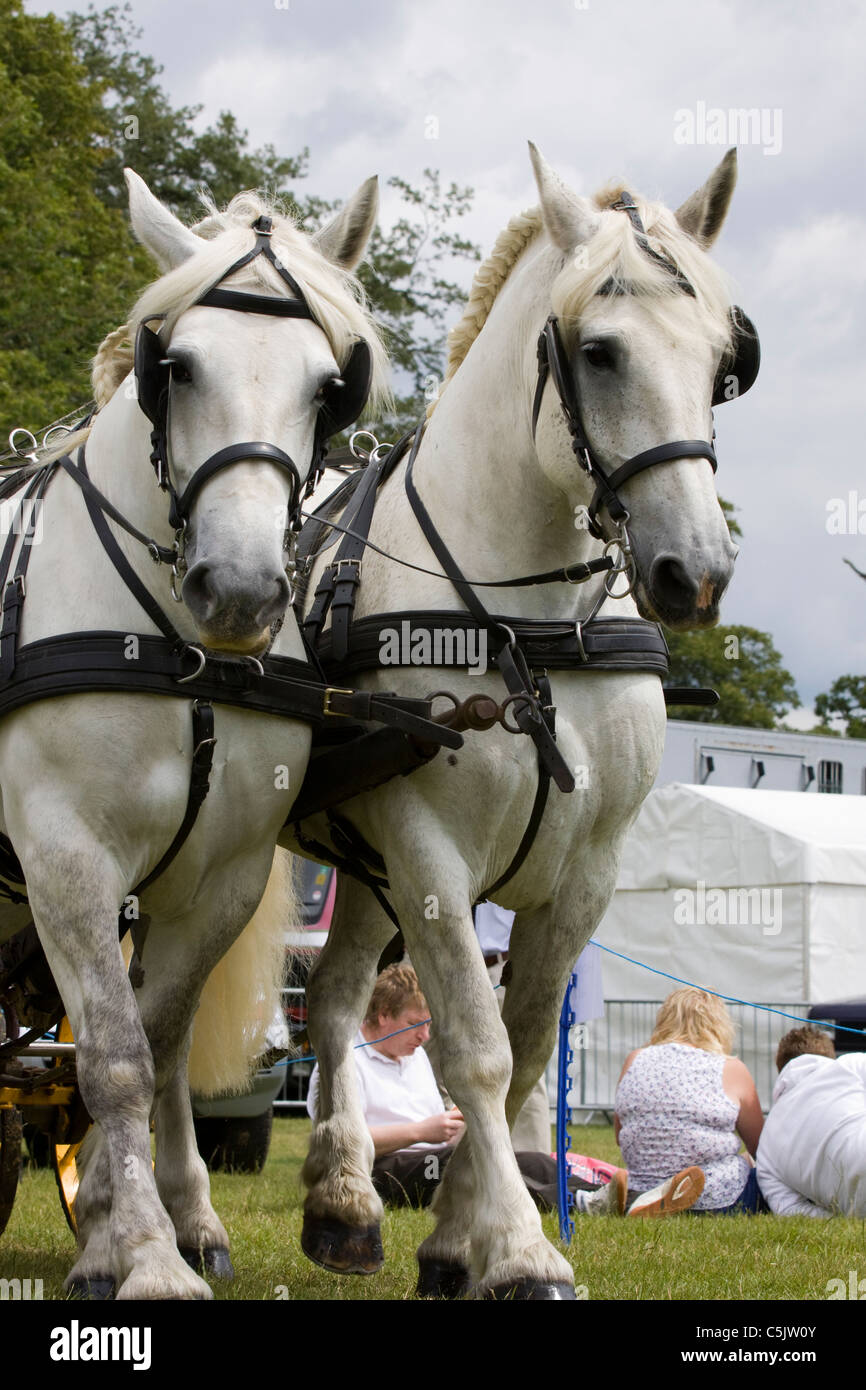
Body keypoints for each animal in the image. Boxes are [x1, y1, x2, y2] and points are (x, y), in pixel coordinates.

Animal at [0, 167, 388, 1299]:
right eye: (175, 366)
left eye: (329, 385)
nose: (243, 589)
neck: (179, 652)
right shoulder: (65, 856)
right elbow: (115, 1055)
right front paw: (142, 1254)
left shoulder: (221, 872)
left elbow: (156, 1042)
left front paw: (139, 1226)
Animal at [280, 145, 755, 1298]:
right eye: (599, 350)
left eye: (724, 358)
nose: (691, 573)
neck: (524, 621)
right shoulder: (428, 849)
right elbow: (475, 1048)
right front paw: (516, 1249)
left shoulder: (586, 866)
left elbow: (530, 1043)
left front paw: (457, 1240)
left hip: (360, 862)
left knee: (339, 997)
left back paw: (343, 1201)